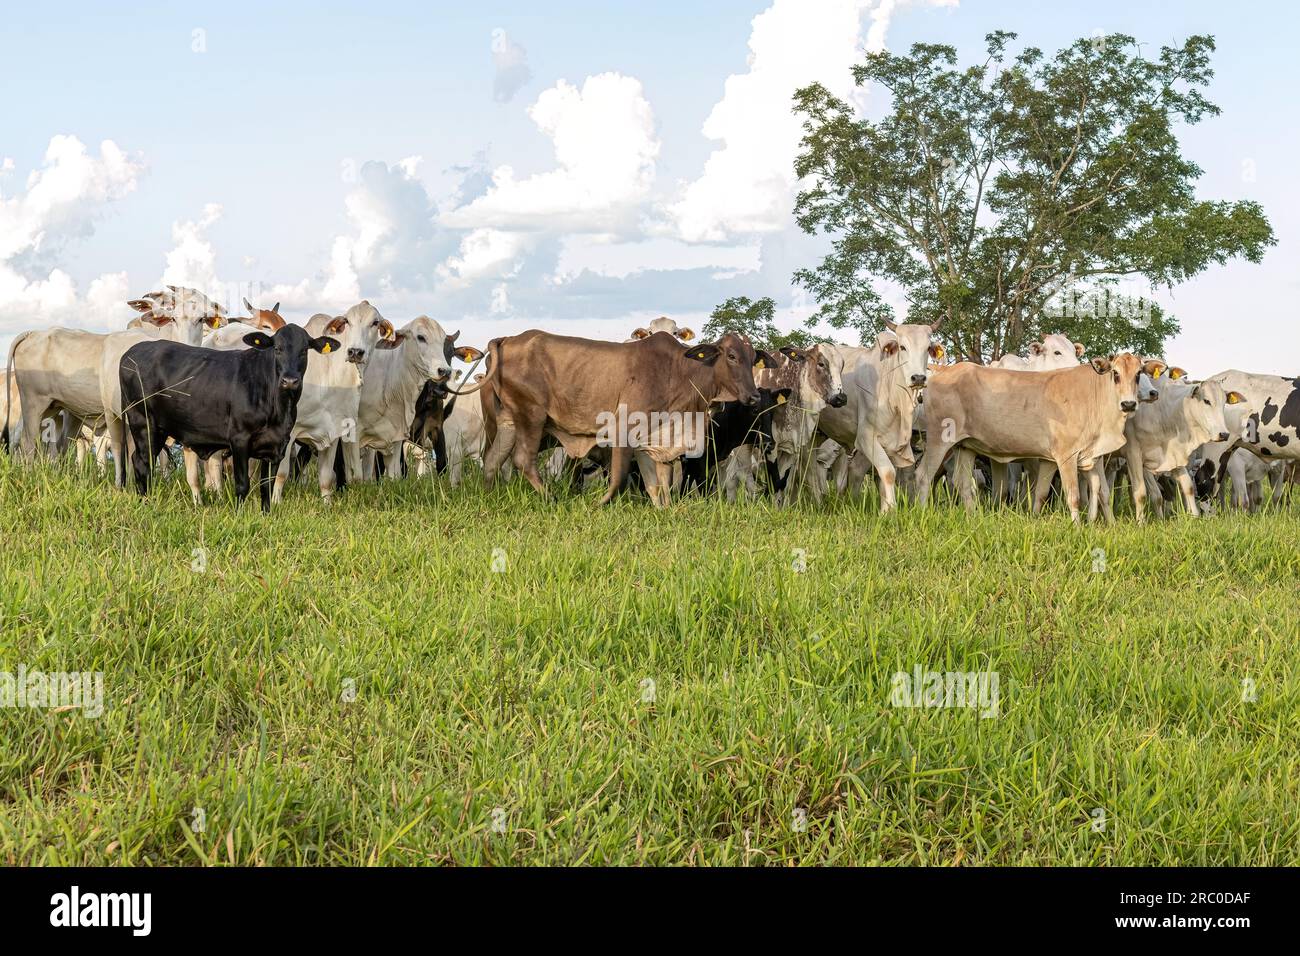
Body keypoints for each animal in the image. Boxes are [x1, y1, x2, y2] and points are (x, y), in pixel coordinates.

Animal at [118, 324, 339, 511]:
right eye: (277, 348)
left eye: (304, 350)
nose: (290, 380)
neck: (278, 408)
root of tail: (133, 351)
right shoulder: (239, 439)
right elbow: (242, 484)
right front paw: (239, 514)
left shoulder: (277, 445)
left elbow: (266, 485)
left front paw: (266, 514)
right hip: (143, 424)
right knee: (142, 463)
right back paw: (145, 503)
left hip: (158, 430)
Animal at [478, 329, 773, 506]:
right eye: (732, 356)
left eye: (753, 358)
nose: (754, 397)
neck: (679, 371)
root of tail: (509, 338)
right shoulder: (623, 429)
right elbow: (619, 478)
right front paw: (598, 504)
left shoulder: (655, 439)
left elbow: (659, 483)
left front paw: (663, 508)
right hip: (531, 416)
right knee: (523, 460)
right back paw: (551, 499)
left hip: (509, 422)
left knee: (492, 461)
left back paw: (489, 496)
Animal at [814, 321, 942, 512]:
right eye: (902, 347)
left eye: (928, 348)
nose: (918, 378)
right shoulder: (865, 437)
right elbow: (888, 472)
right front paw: (890, 510)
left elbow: (883, 477)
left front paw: (885, 508)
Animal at [912, 353, 1145, 524]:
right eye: (1115, 373)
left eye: (1138, 375)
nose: (1129, 404)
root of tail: (946, 369)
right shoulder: (1066, 456)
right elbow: (1074, 496)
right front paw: (1077, 527)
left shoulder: (1074, 457)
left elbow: (1057, 491)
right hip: (939, 440)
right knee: (923, 475)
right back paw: (922, 514)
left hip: (965, 446)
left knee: (962, 482)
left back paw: (973, 516)